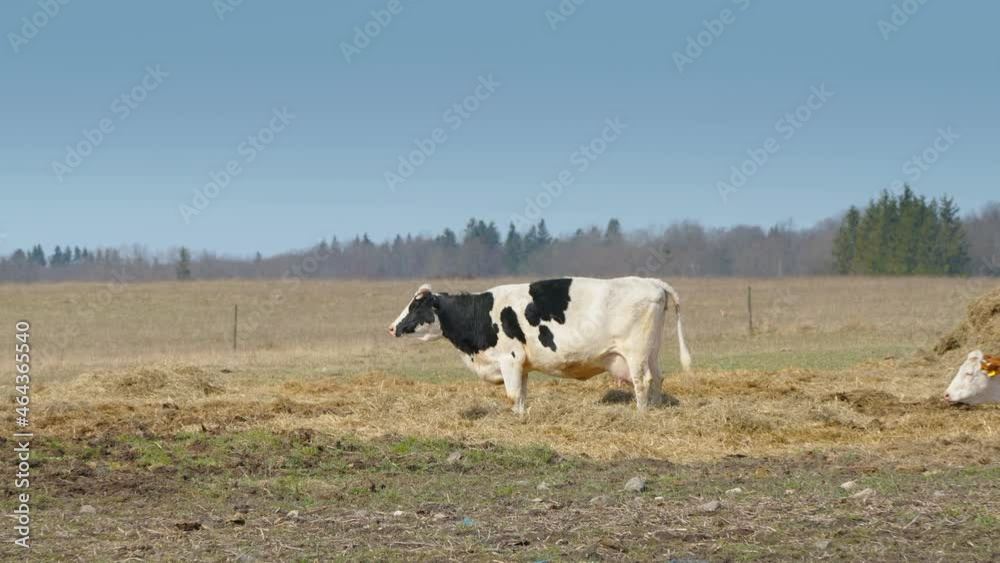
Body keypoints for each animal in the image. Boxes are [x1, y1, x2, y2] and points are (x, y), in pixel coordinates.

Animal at [388, 276, 692, 413]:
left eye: (416, 307)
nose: (392, 327)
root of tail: (650, 282)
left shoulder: (509, 359)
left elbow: (512, 395)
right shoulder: (521, 365)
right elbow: (521, 396)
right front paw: (521, 416)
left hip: (635, 353)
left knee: (643, 381)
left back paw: (641, 413)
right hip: (651, 351)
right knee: (658, 378)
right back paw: (655, 409)